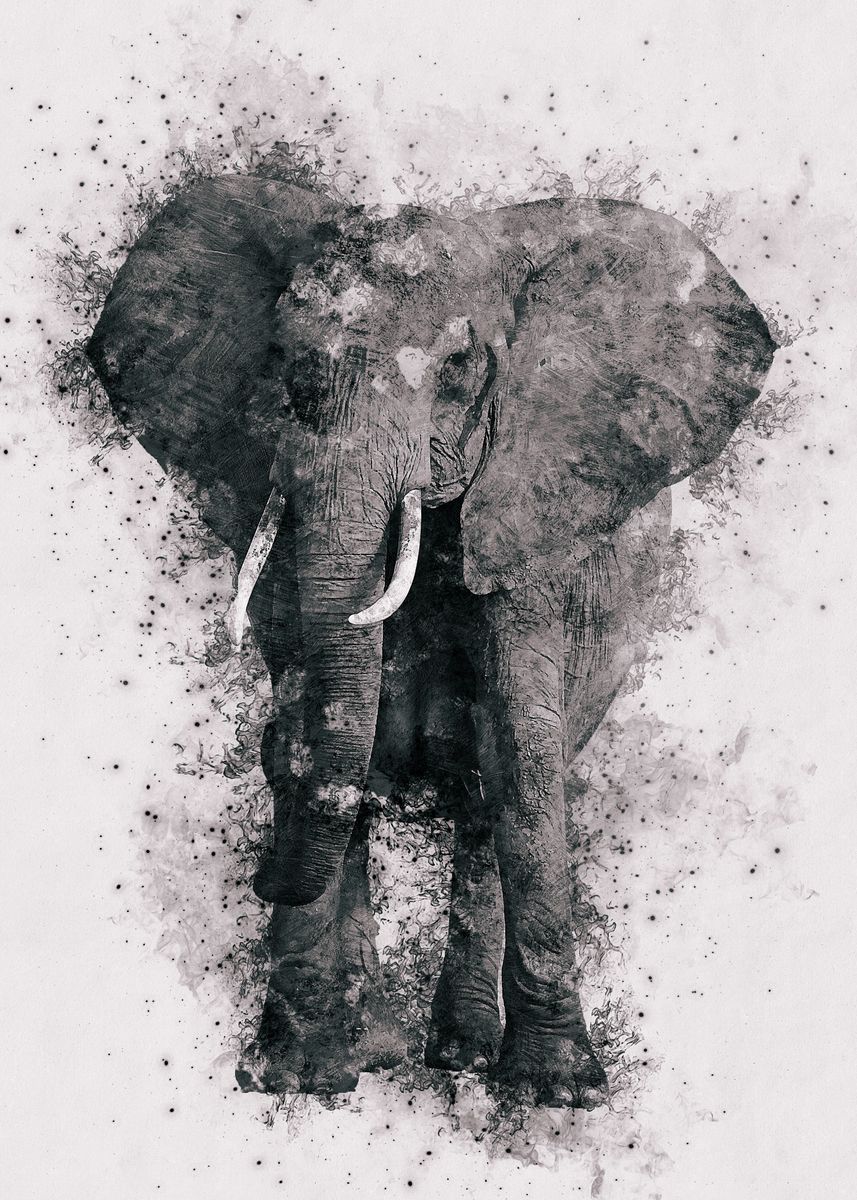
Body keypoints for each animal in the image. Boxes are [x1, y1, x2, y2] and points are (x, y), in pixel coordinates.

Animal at [86, 170, 776, 1108]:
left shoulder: (536, 504)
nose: (257, 873)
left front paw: (560, 1094)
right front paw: (297, 1080)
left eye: (456, 366)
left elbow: (520, 751)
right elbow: (316, 720)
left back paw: (464, 1059)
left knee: (493, 794)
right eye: (281, 361)